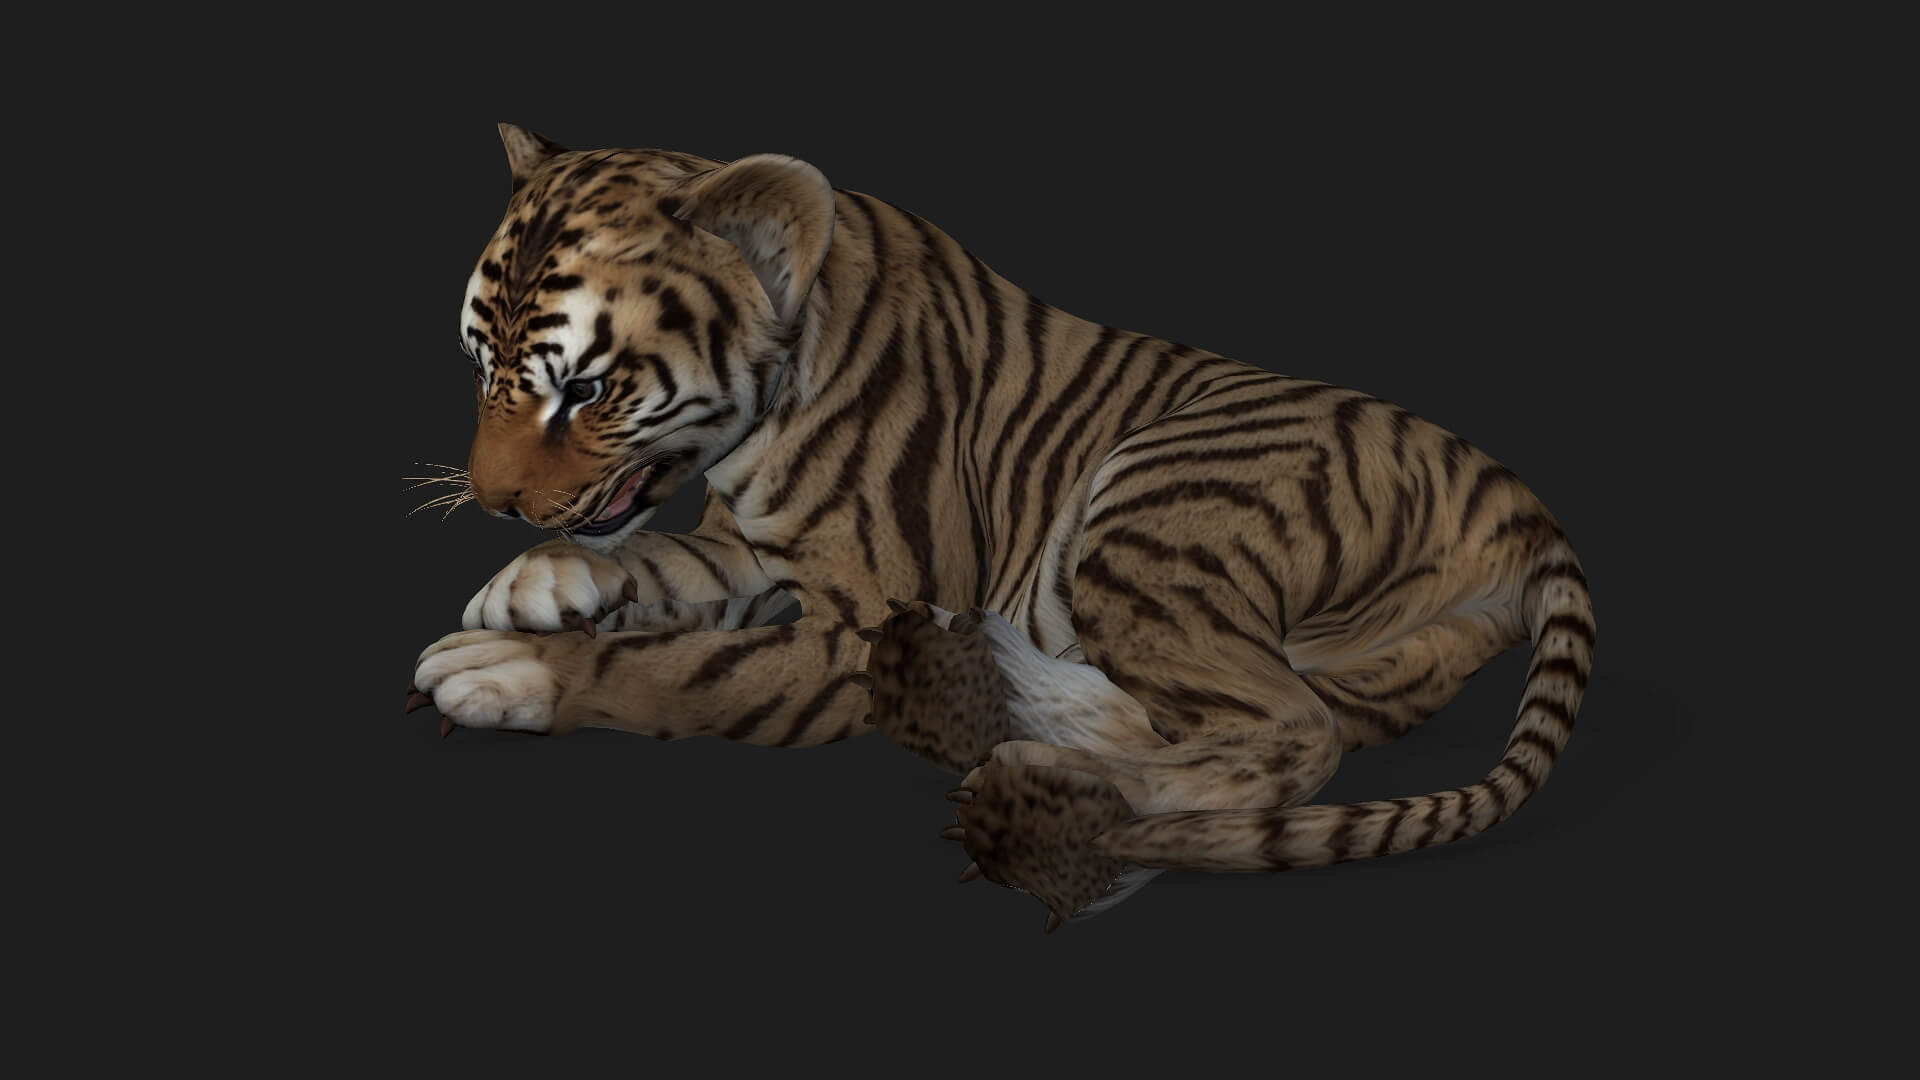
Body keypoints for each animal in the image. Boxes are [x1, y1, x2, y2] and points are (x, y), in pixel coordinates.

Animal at [405, 123, 1596, 930]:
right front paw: (528, 584)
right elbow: (653, 556)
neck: (761, 415)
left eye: (585, 390)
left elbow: (679, 666)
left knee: (1295, 733)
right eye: (478, 366)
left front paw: (506, 670)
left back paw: (1034, 778)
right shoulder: (753, 549)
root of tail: (1520, 501)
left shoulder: (859, 626)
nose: (494, 503)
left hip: (1153, 501)